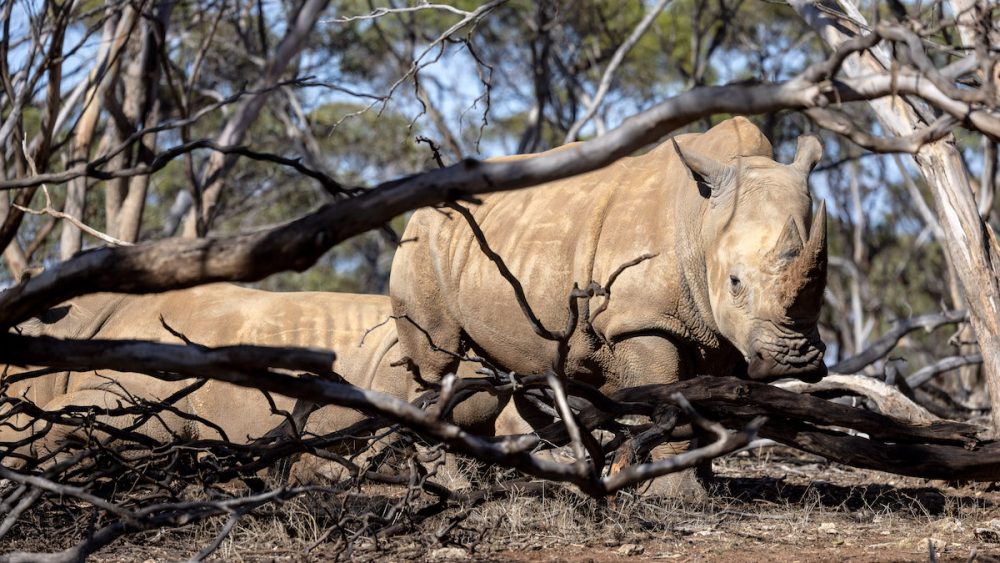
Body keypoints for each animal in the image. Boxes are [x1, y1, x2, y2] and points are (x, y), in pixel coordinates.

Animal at [390, 117, 827, 491]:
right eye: (735, 282)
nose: (794, 361)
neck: (701, 220)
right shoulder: (640, 320)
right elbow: (670, 394)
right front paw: (674, 494)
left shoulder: (723, 334)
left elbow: (710, 400)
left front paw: (701, 484)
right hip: (422, 238)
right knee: (435, 364)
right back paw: (453, 482)